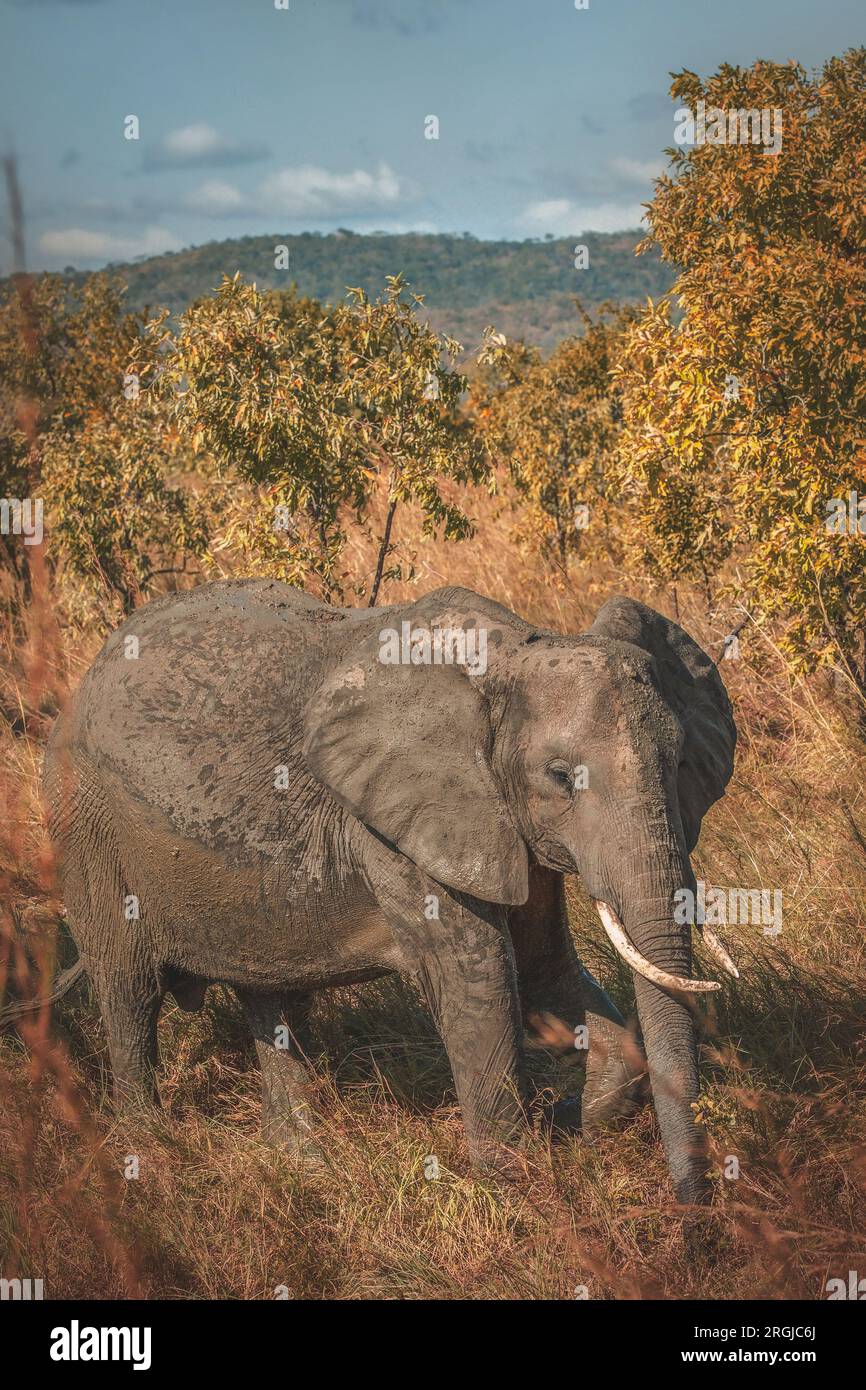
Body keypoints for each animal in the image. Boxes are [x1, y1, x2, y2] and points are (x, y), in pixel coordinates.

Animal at [40, 580, 736, 1203]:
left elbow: (547, 965)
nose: (693, 1213)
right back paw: (149, 1150)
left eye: (679, 763)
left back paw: (303, 1159)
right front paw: (516, 1186)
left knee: (272, 996)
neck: (507, 660)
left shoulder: (505, 823)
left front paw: (570, 1115)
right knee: (129, 989)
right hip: (86, 828)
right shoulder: (393, 827)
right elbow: (480, 982)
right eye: (562, 777)